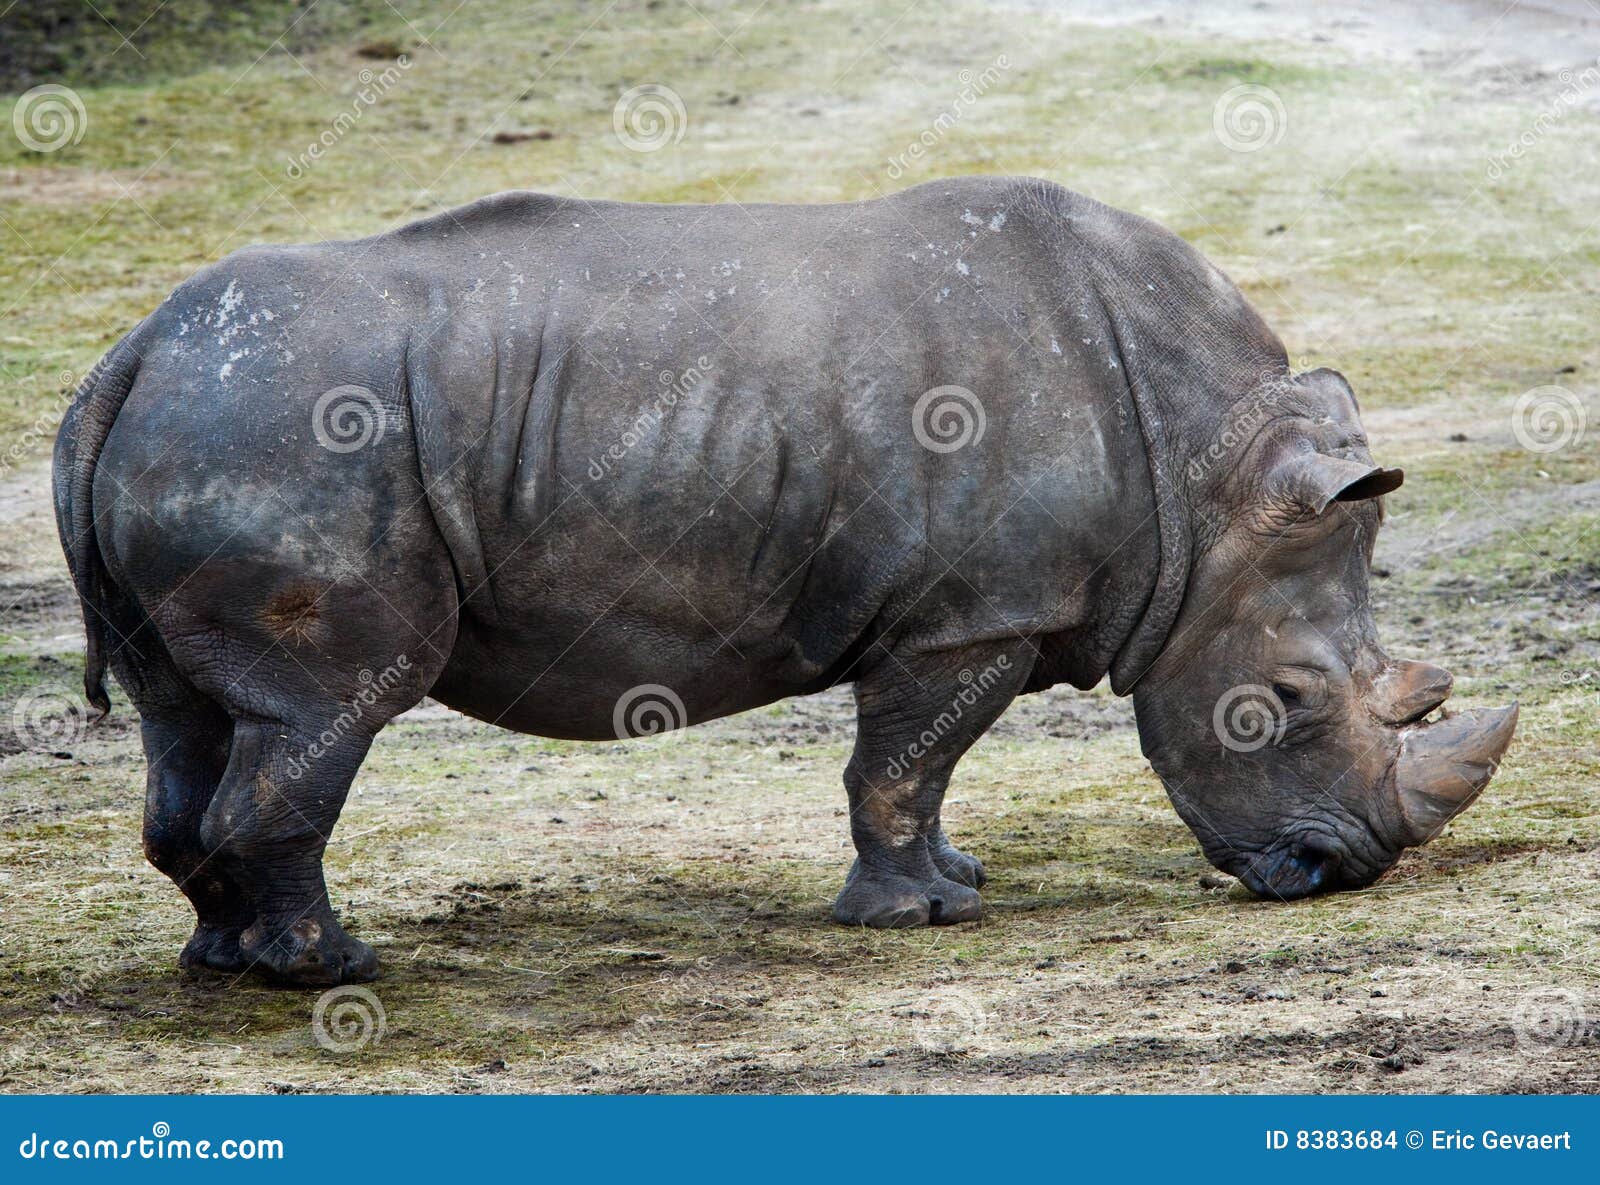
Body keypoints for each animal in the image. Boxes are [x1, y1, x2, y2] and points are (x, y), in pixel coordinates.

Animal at [53, 176, 1517, 986]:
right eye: (1283, 704)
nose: (1340, 872)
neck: (1207, 481)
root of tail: (130, 357)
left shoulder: (972, 612)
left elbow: (923, 776)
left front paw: (959, 882)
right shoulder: (968, 617)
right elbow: (902, 762)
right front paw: (918, 917)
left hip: (219, 420)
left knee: (188, 716)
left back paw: (222, 964)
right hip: (282, 432)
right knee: (330, 706)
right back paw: (326, 972)